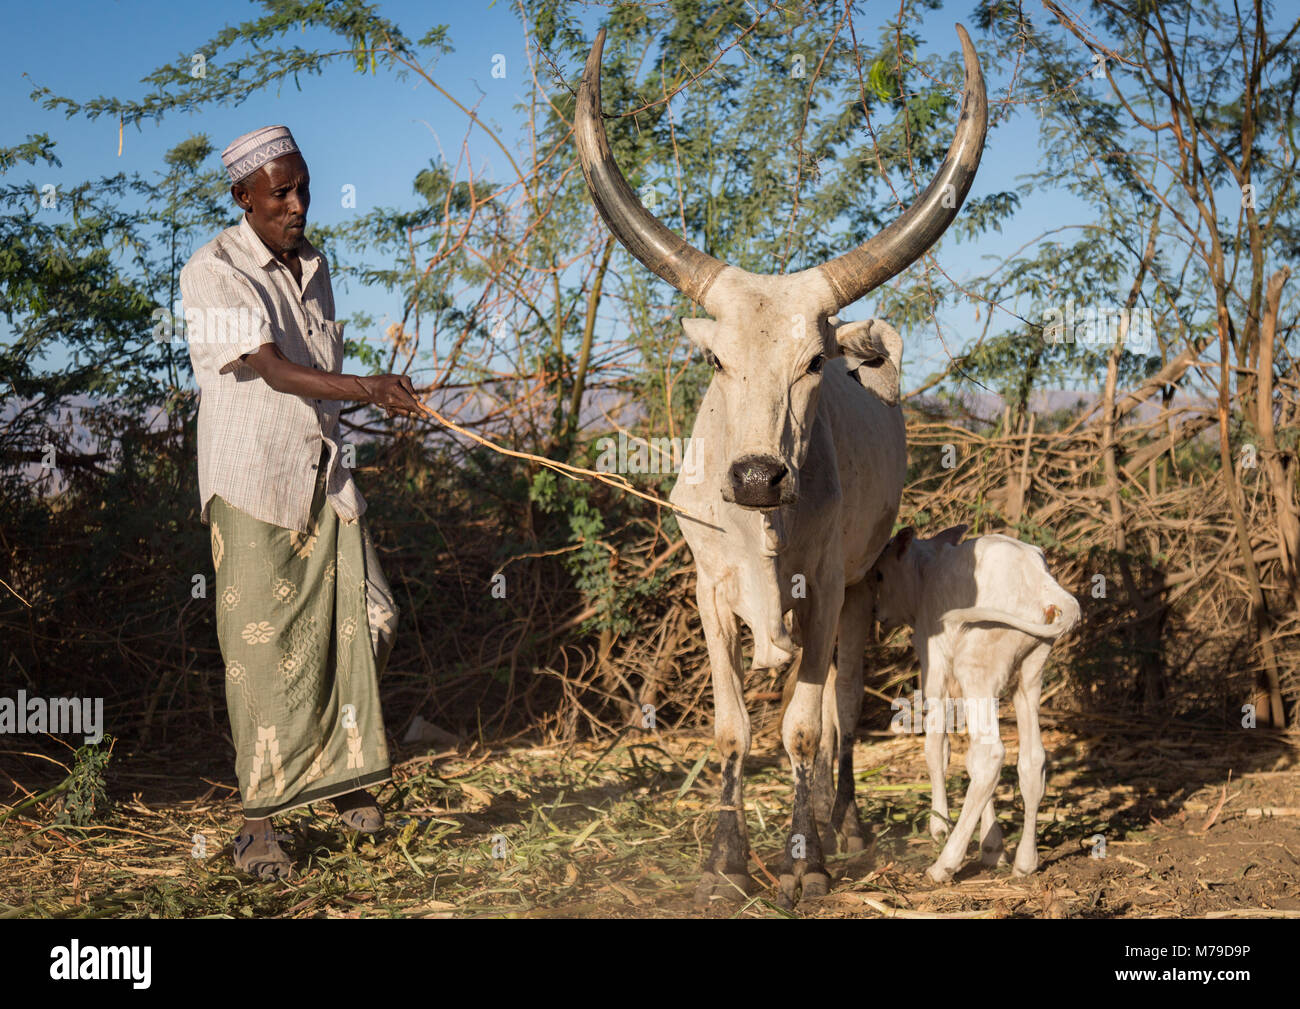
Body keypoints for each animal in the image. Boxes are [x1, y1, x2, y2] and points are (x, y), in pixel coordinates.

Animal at [573, 24, 987, 908]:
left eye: (813, 361)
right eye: (718, 361)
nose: (758, 477)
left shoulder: (827, 585)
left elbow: (802, 725)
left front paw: (807, 858)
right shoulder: (707, 587)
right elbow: (733, 727)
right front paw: (726, 859)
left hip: (860, 587)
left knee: (841, 708)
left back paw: (844, 824)